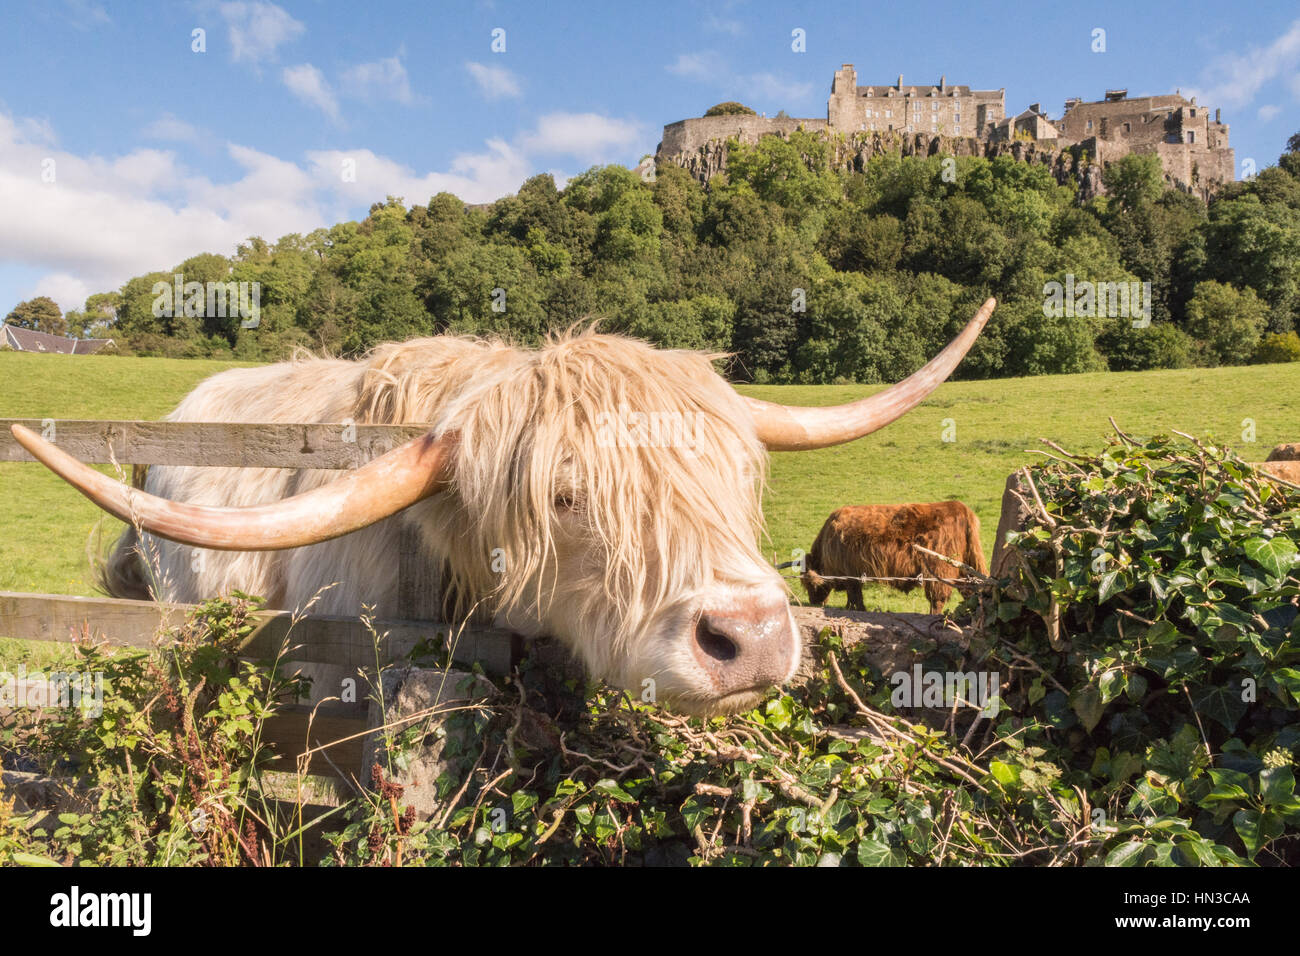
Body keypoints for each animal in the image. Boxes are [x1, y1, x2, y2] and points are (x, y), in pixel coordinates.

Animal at [800, 501, 987, 614]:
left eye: (809, 585)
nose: (813, 602)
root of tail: (960, 507)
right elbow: (855, 596)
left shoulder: (850, 575)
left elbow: (854, 597)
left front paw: (855, 609)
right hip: (963, 567)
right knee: (971, 591)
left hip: (940, 567)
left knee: (938, 598)